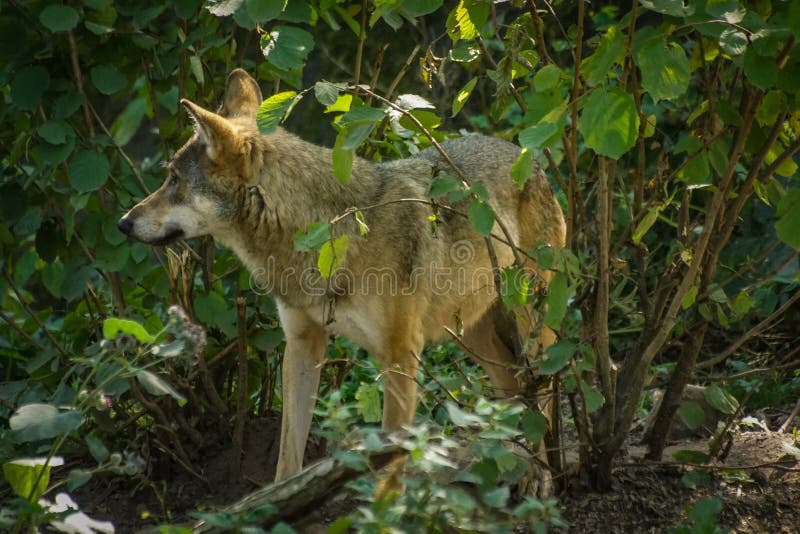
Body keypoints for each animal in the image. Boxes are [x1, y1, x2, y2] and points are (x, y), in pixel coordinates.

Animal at [118, 69, 566, 483]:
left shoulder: (400, 357)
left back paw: (542, 480)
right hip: (470, 334)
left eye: (174, 180)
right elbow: (287, 458)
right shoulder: (302, 345)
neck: (322, 237)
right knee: (513, 395)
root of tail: (527, 154)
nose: (123, 223)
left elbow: (391, 465)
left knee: (541, 400)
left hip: (530, 331)